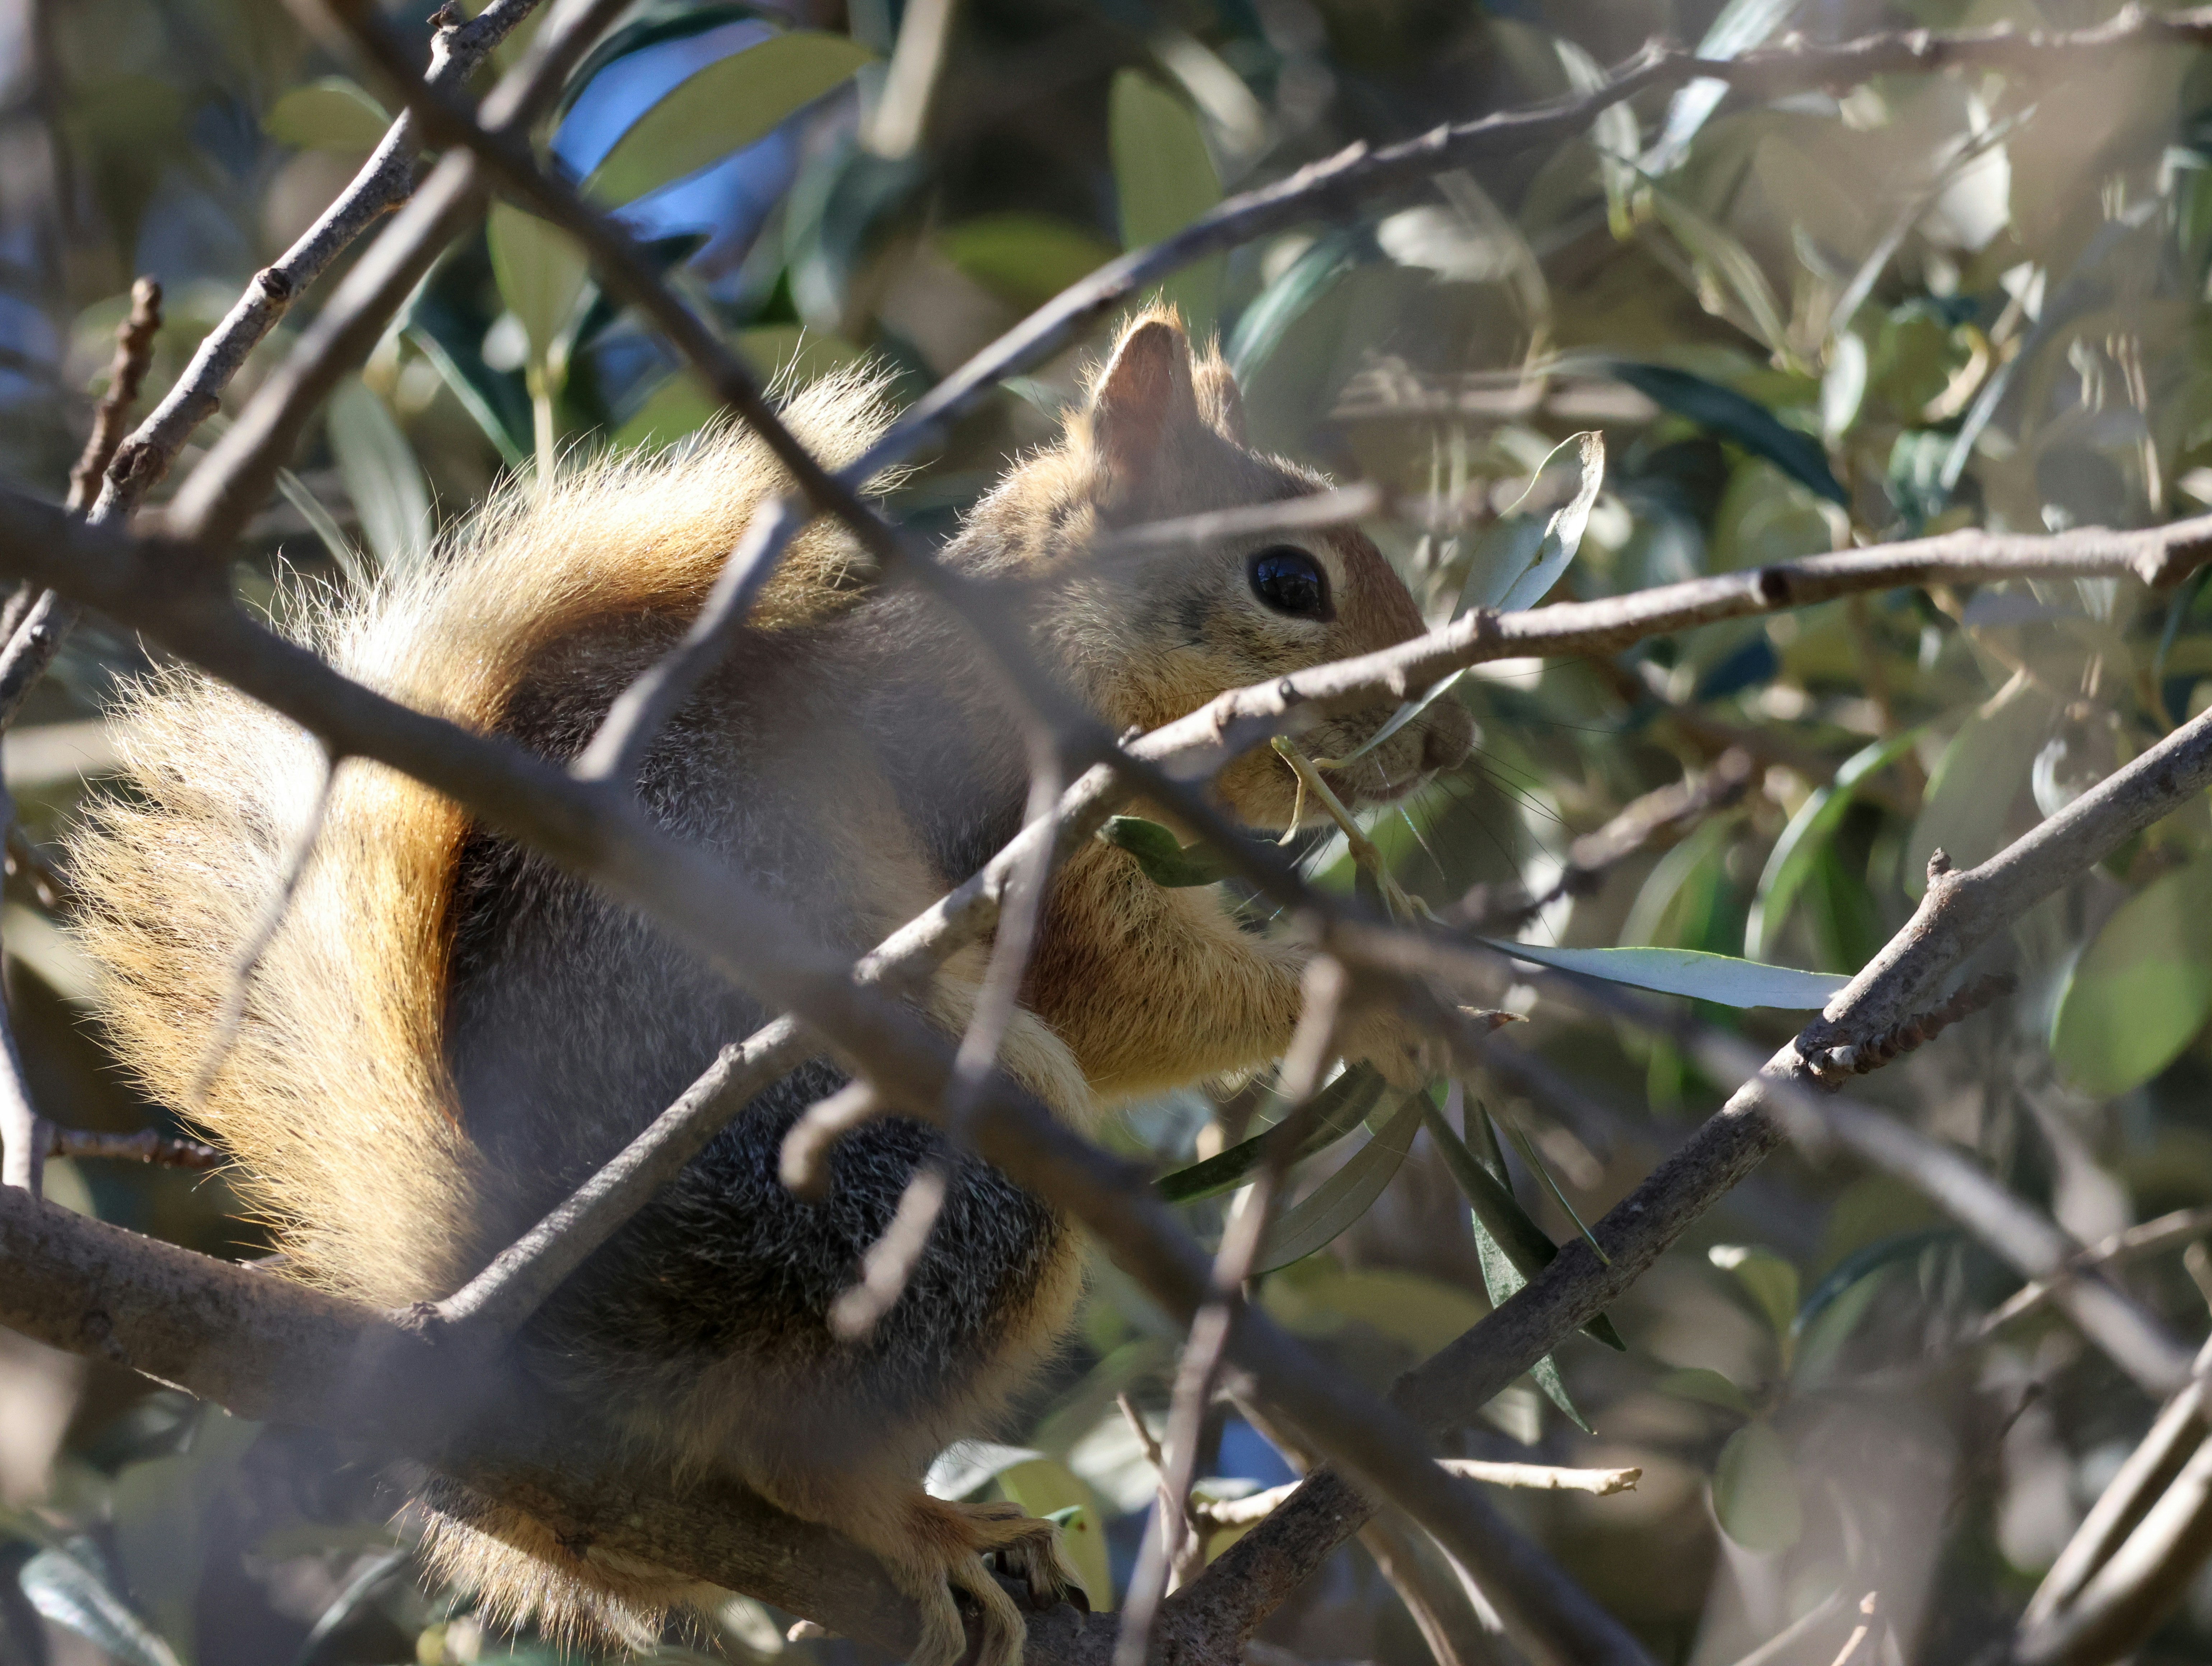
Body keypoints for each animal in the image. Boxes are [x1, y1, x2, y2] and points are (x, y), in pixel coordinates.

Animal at [65, 308, 1474, 1664]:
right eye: (1287, 580)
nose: (1454, 742)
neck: (1050, 645)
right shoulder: (1001, 806)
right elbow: (1116, 979)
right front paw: (1386, 991)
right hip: (913, 1197)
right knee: (806, 1460)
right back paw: (923, 1530)